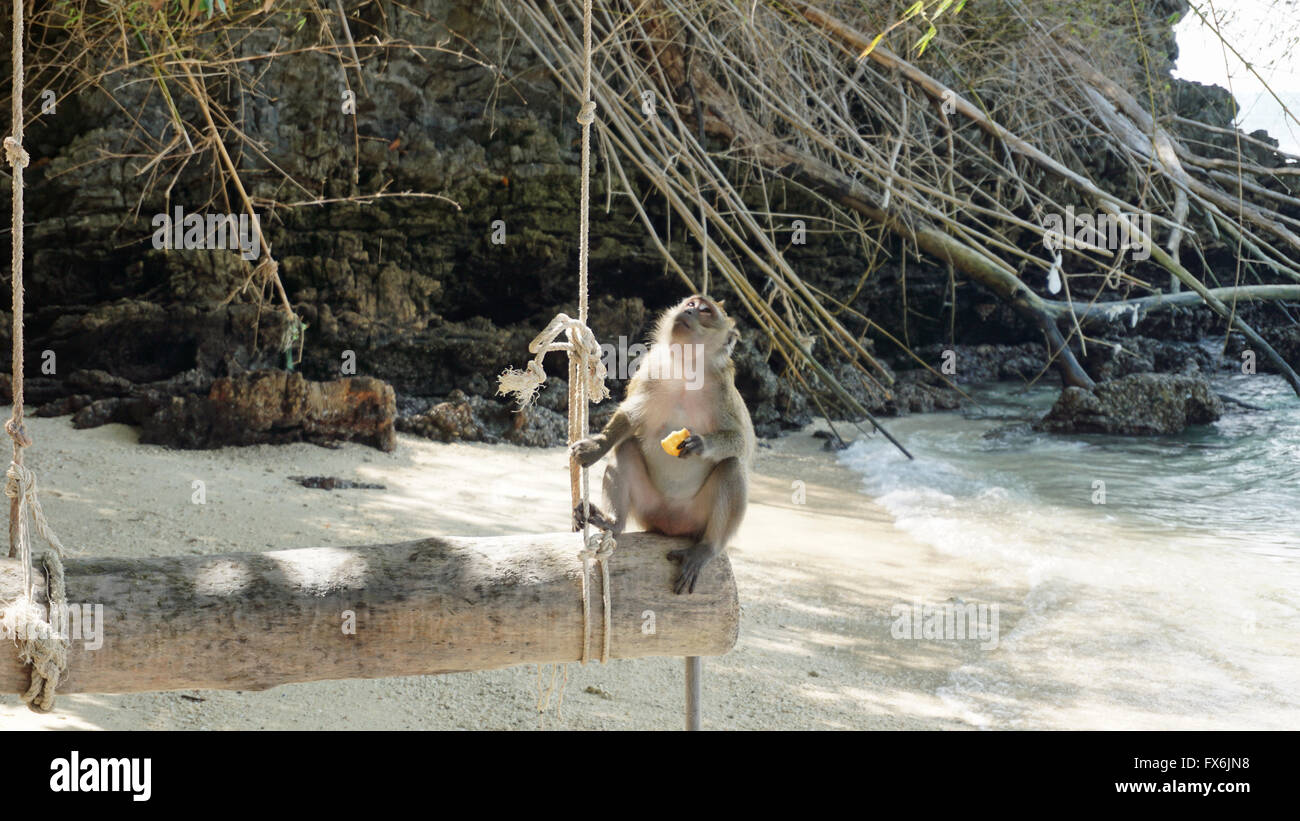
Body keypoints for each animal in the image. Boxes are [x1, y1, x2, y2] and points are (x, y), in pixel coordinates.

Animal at [571, 294, 755, 594]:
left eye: (705, 311)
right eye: (691, 304)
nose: (689, 311)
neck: (687, 368)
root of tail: (670, 525)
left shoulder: (723, 388)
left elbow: (741, 442)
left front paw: (700, 444)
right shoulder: (651, 372)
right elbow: (630, 418)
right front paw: (596, 447)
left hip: (696, 517)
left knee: (731, 466)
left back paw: (707, 548)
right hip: (649, 507)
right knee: (627, 448)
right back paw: (613, 522)